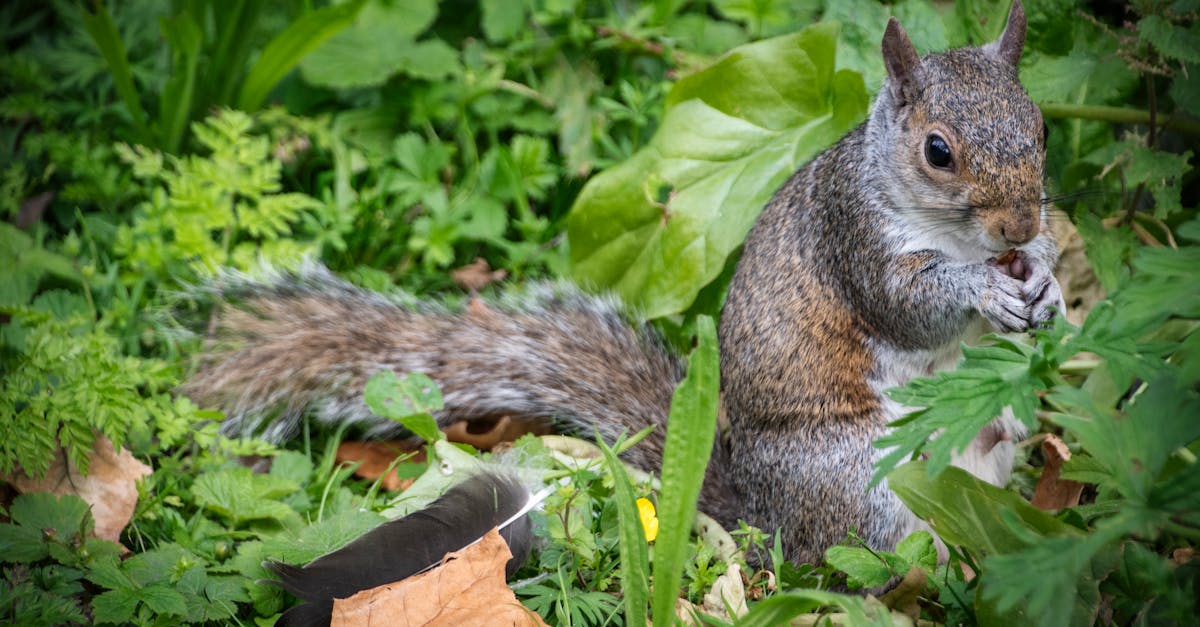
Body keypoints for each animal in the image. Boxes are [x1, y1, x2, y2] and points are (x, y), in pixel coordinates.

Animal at [184, 0, 1060, 566]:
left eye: (1042, 126)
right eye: (938, 151)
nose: (1018, 226)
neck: (954, 233)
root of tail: (765, 525)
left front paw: (1047, 286)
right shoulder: (853, 237)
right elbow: (908, 305)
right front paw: (983, 290)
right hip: (863, 483)